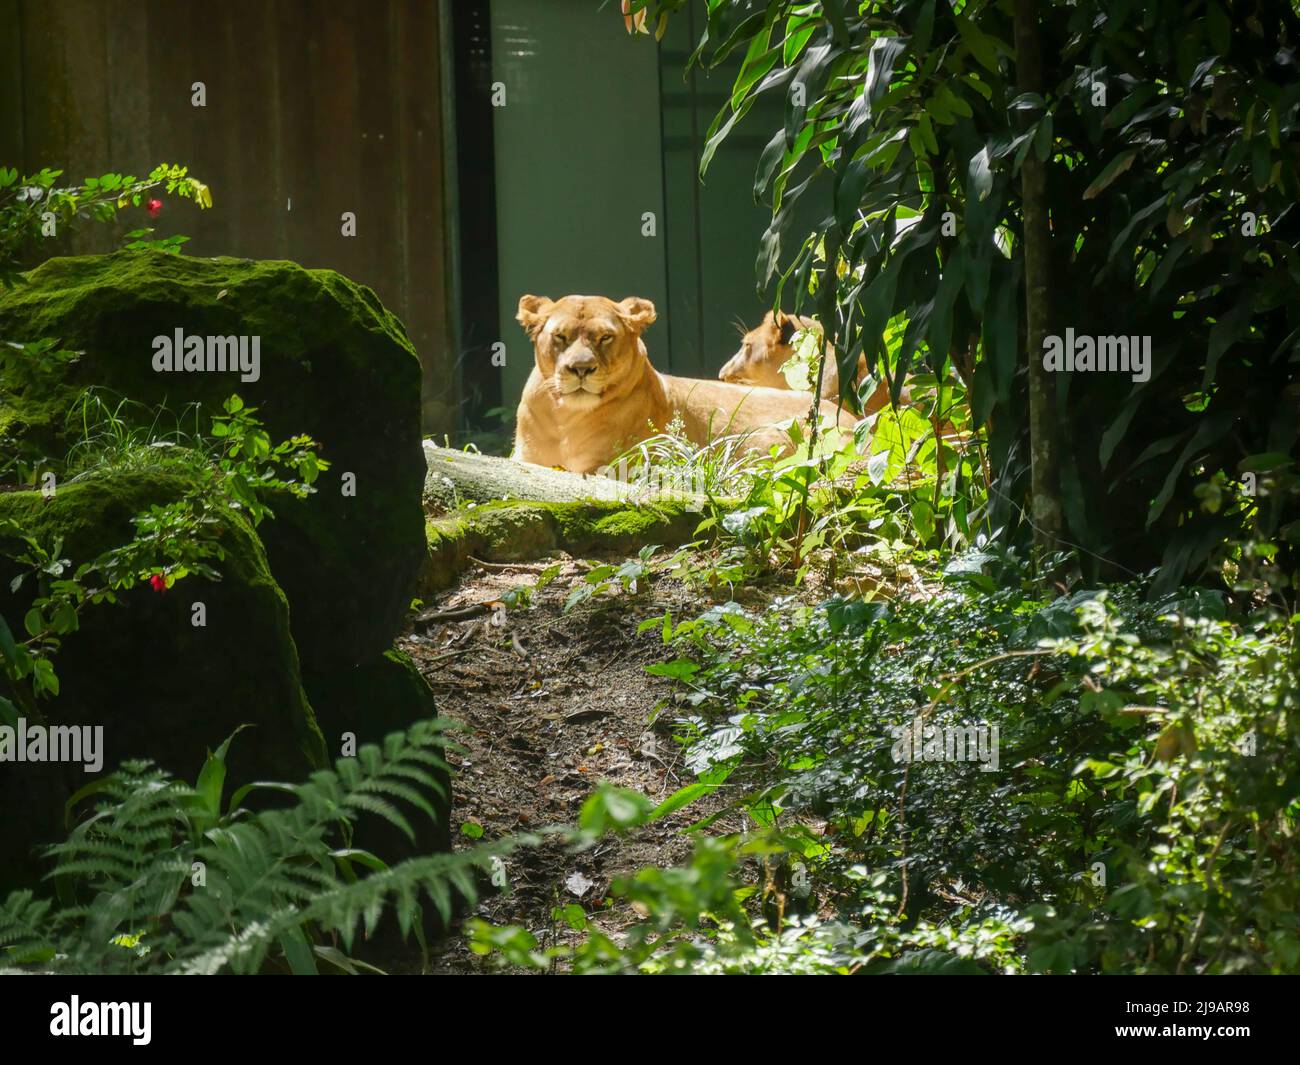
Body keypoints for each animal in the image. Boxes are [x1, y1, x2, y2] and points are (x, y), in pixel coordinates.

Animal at [512, 295, 856, 474]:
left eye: (605, 337)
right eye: (560, 336)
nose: (581, 368)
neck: (565, 419)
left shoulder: (616, 467)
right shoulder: (523, 459)